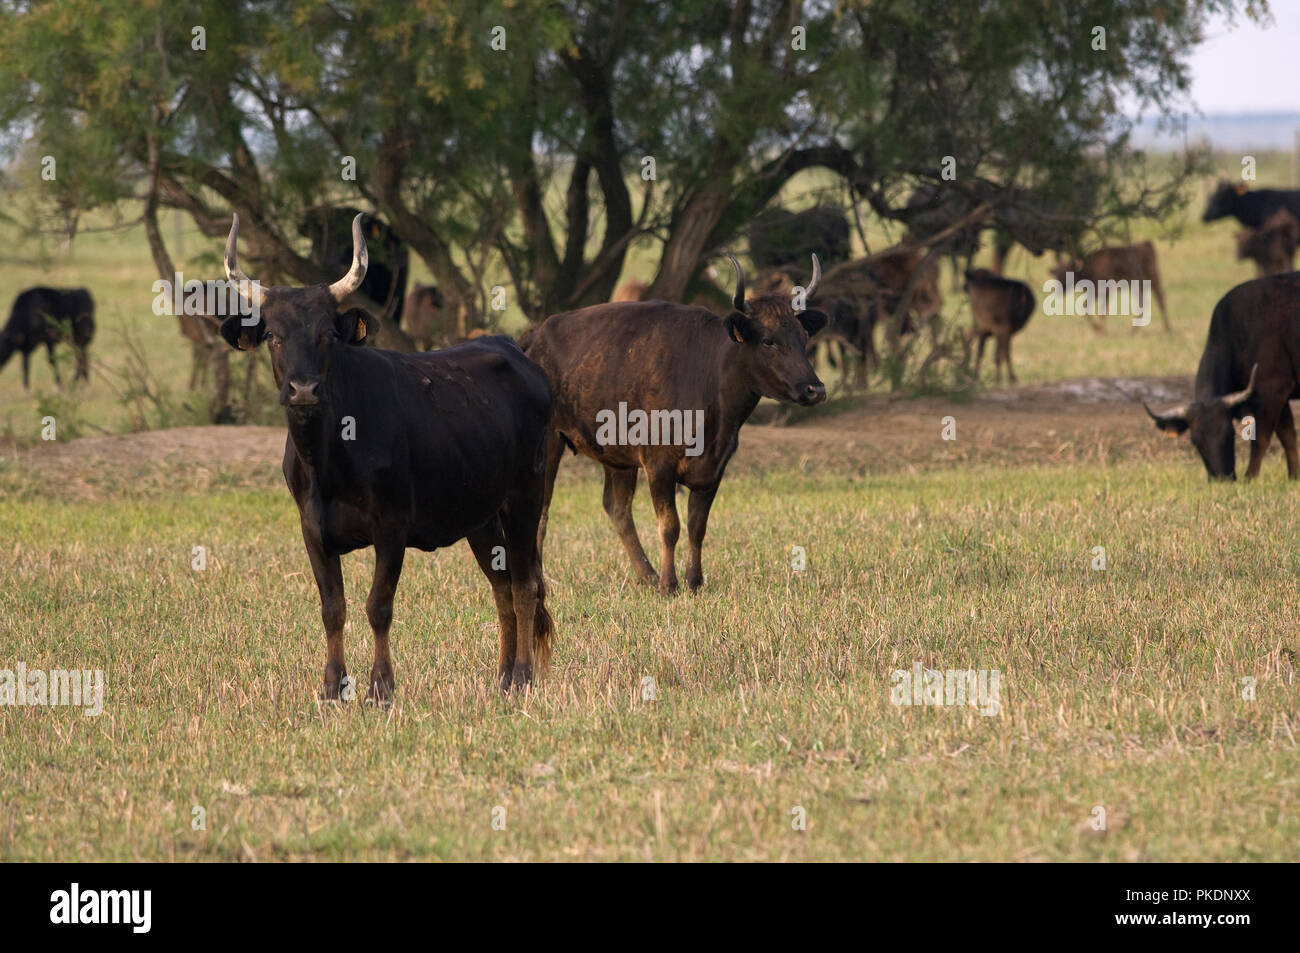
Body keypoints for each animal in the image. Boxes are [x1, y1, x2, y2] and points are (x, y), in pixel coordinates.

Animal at [217, 214, 555, 695]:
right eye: (274, 337)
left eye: (327, 335)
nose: (303, 390)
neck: (326, 460)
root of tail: (512, 349)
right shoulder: (312, 530)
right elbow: (333, 609)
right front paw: (333, 687)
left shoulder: (392, 526)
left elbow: (378, 606)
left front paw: (380, 687)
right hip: (482, 517)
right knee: (503, 588)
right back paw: (504, 677)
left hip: (526, 497)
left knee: (526, 586)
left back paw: (524, 676)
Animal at [525, 255, 828, 595]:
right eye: (768, 340)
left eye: (803, 337)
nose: (815, 389)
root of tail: (537, 335)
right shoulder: (658, 464)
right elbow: (670, 526)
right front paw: (669, 585)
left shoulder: (713, 469)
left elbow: (697, 526)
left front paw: (694, 581)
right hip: (550, 442)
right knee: (542, 511)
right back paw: (539, 582)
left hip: (617, 458)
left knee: (617, 509)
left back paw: (646, 575)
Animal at [1144, 273, 1300, 481]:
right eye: (1195, 441)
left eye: (1229, 433)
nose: (1222, 479)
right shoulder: (1278, 398)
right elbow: (1288, 436)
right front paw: (1294, 476)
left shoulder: (1273, 391)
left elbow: (1260, 439)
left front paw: (1249, 478)